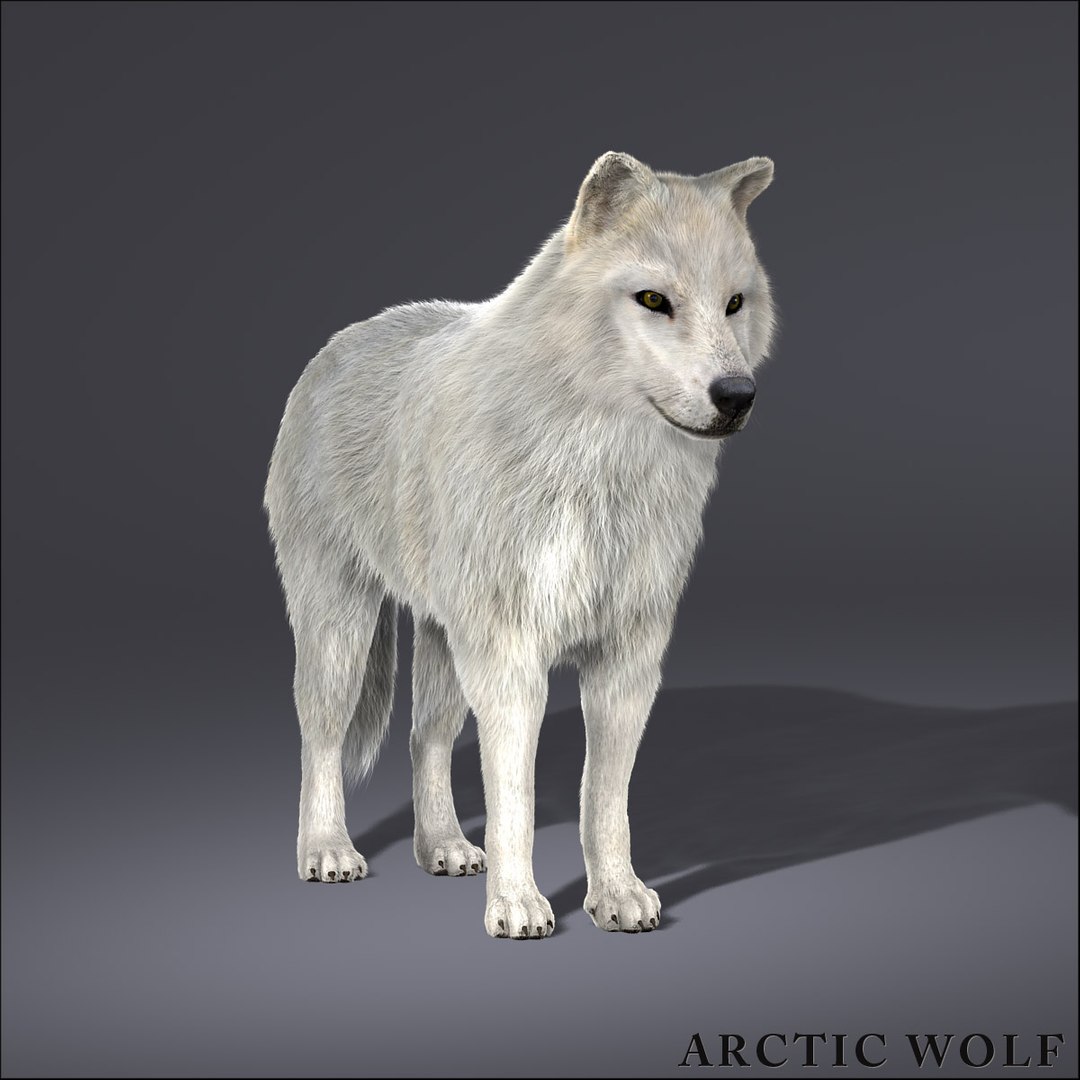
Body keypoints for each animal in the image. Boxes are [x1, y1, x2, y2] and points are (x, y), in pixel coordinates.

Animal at [264, 151, 776, 939]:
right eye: (654, 300)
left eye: (734, 303)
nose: (736, 395)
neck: (597, 466)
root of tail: (342, 341)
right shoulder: (510, 657)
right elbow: (516, 799)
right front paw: (517, 905)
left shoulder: (629, 660)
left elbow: (606, 799)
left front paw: (617, 895)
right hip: (341, 630)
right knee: (320, 737)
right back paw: (327, 850)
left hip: (443, 642)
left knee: (425, 738)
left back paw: (443, 847)